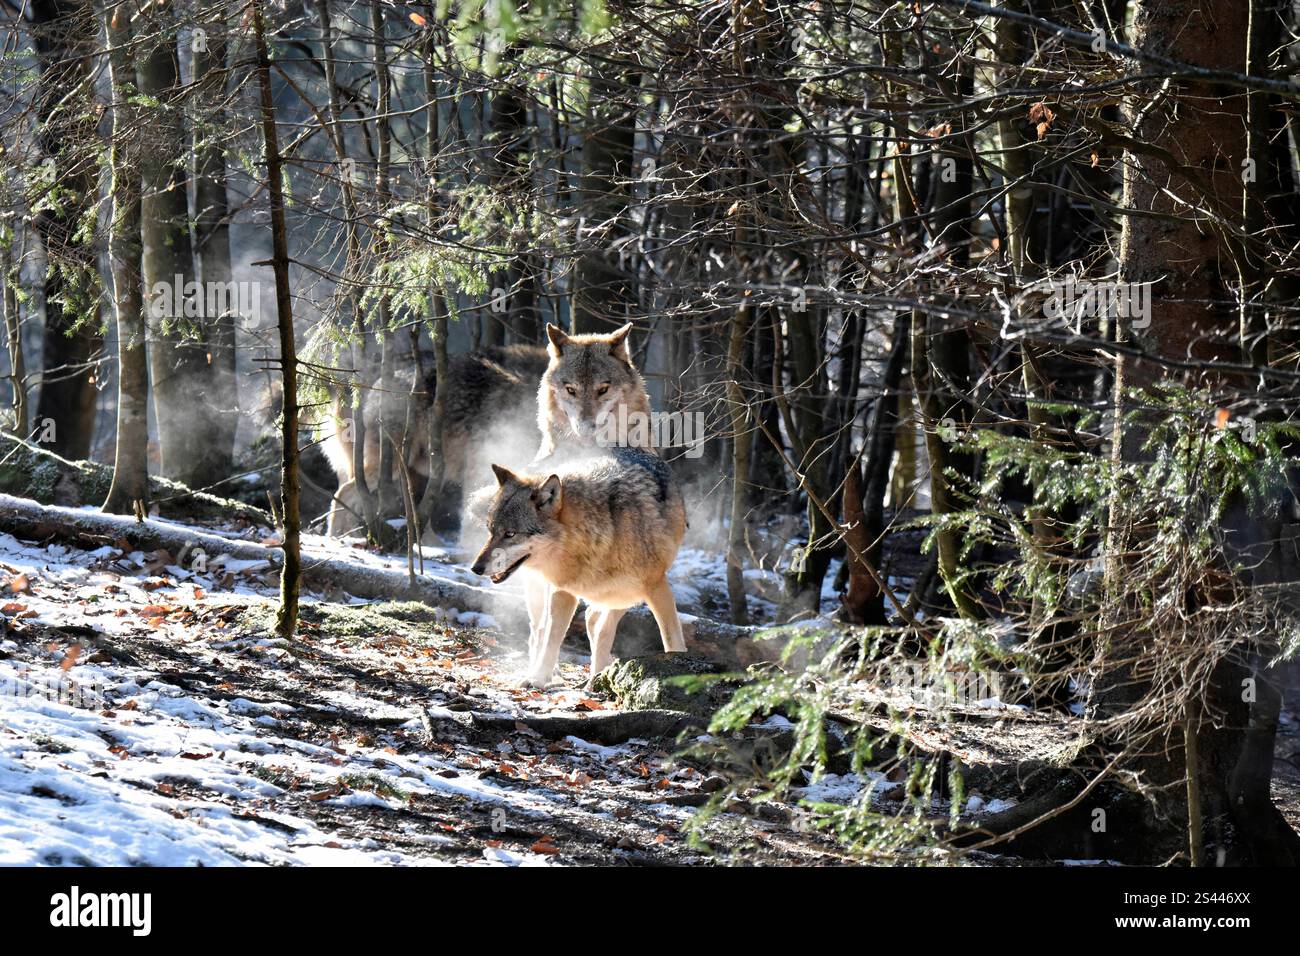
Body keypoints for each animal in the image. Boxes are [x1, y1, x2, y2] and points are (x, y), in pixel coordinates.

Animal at [470, 446, 687, 687]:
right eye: (491, 530)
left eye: (510, 533)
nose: (475, 568)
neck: (601, 540)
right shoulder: (563, 591)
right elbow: (552, 639)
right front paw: (538, 678)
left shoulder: (655, 587)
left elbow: (671, 640)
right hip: (543, 590)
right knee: (540, 630)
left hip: (624, 596)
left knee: (594, 621)